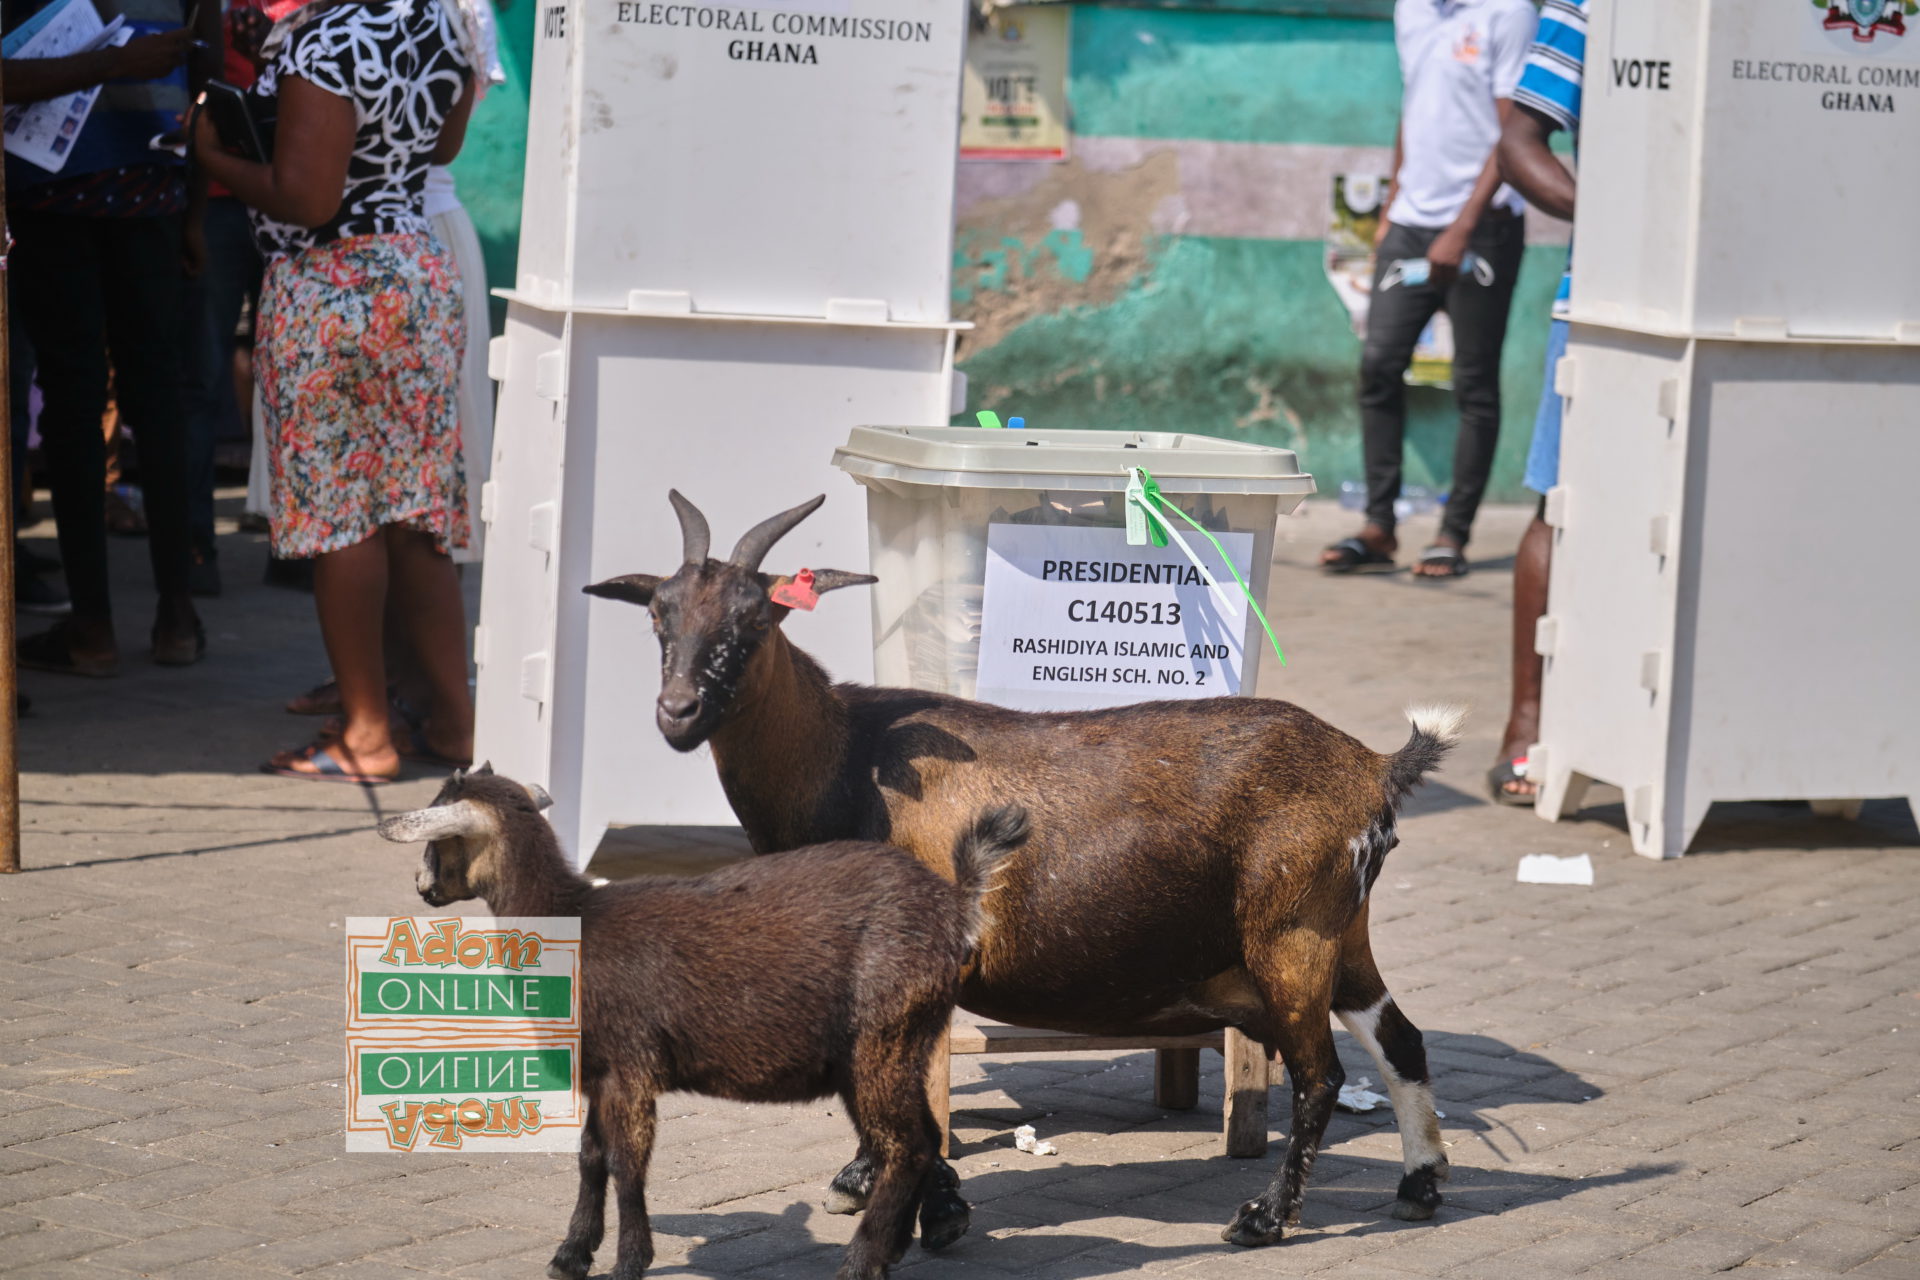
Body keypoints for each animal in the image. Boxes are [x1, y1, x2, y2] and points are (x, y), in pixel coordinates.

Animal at [376, 764, 1029, 1280]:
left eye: (438, 841)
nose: (421, 886)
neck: (576, 915)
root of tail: (955, 906)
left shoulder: (633, 1066)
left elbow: (627, 1165)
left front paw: (629, 1263)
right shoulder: (601, 1071)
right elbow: (590, 1157)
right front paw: (570, 1256)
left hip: (882, 1037)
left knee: (906, 1144)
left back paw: (862, 1262)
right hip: (902, 1043)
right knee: (925, 1134)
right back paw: (896, 1247)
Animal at [584, 491, 1465, 1248]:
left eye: (755, 618)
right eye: (659, 616)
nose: (678, 712)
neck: (849, 757)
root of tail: (1370, 769)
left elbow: (906, 1103)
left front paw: (933, 1208)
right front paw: (870, 1181)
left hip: (1290, 935)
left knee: (1319, 1077)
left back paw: (1265, 1217)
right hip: (1342, 931)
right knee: (1402, 1041)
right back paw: (1419, 1186)